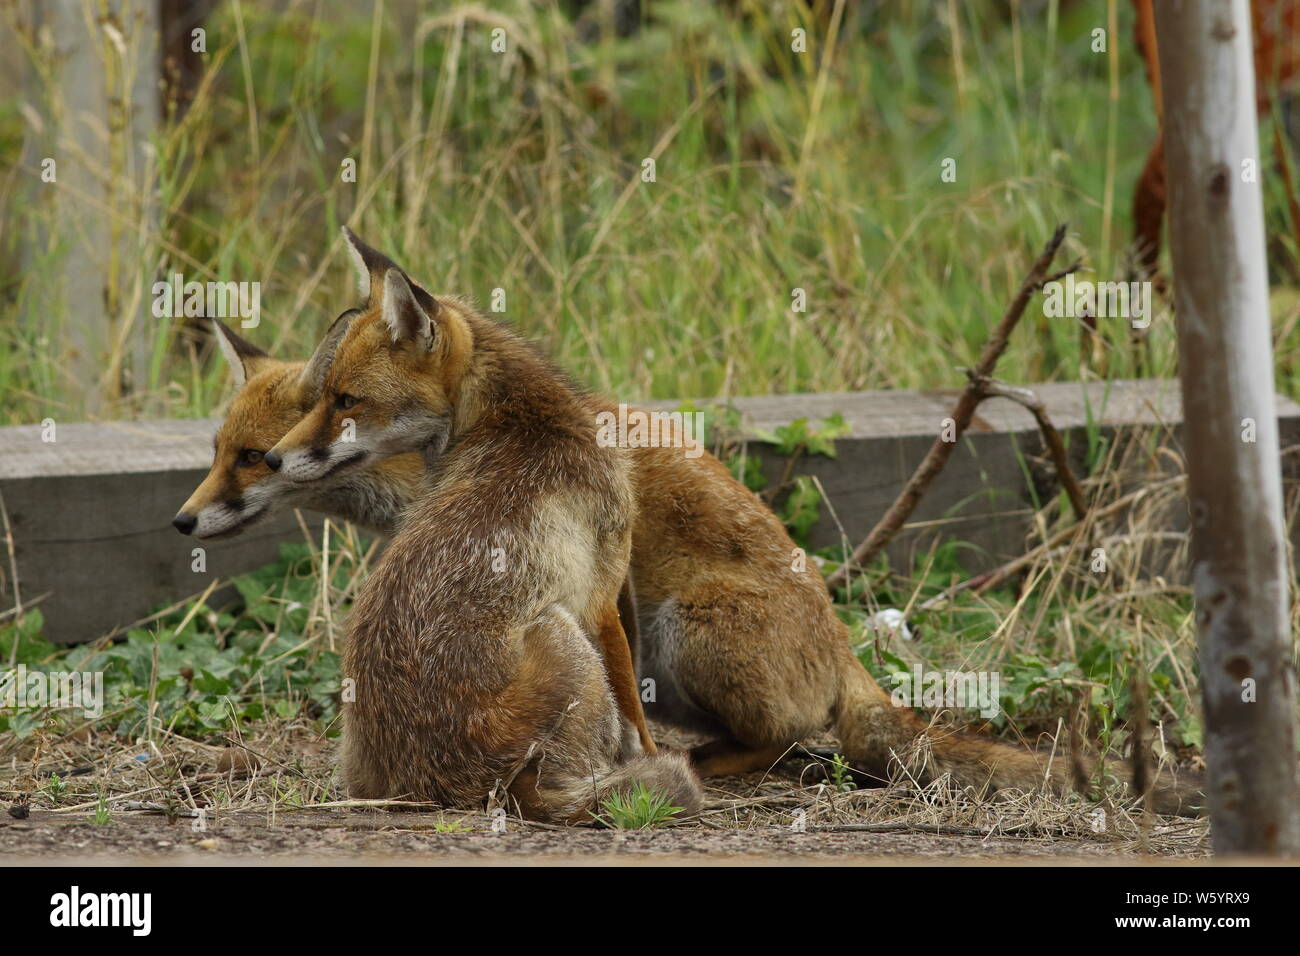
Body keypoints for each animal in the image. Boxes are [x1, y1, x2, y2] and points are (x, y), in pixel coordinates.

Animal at [178, 227, 1201, 816]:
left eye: (339, 402)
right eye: (229, 448)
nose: (185, 521)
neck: (517, 425)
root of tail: (841, 646)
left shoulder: (606, 592)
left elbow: (625, 708)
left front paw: (632, 764)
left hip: (684, 627)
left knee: (793, 736)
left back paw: (712, 763)